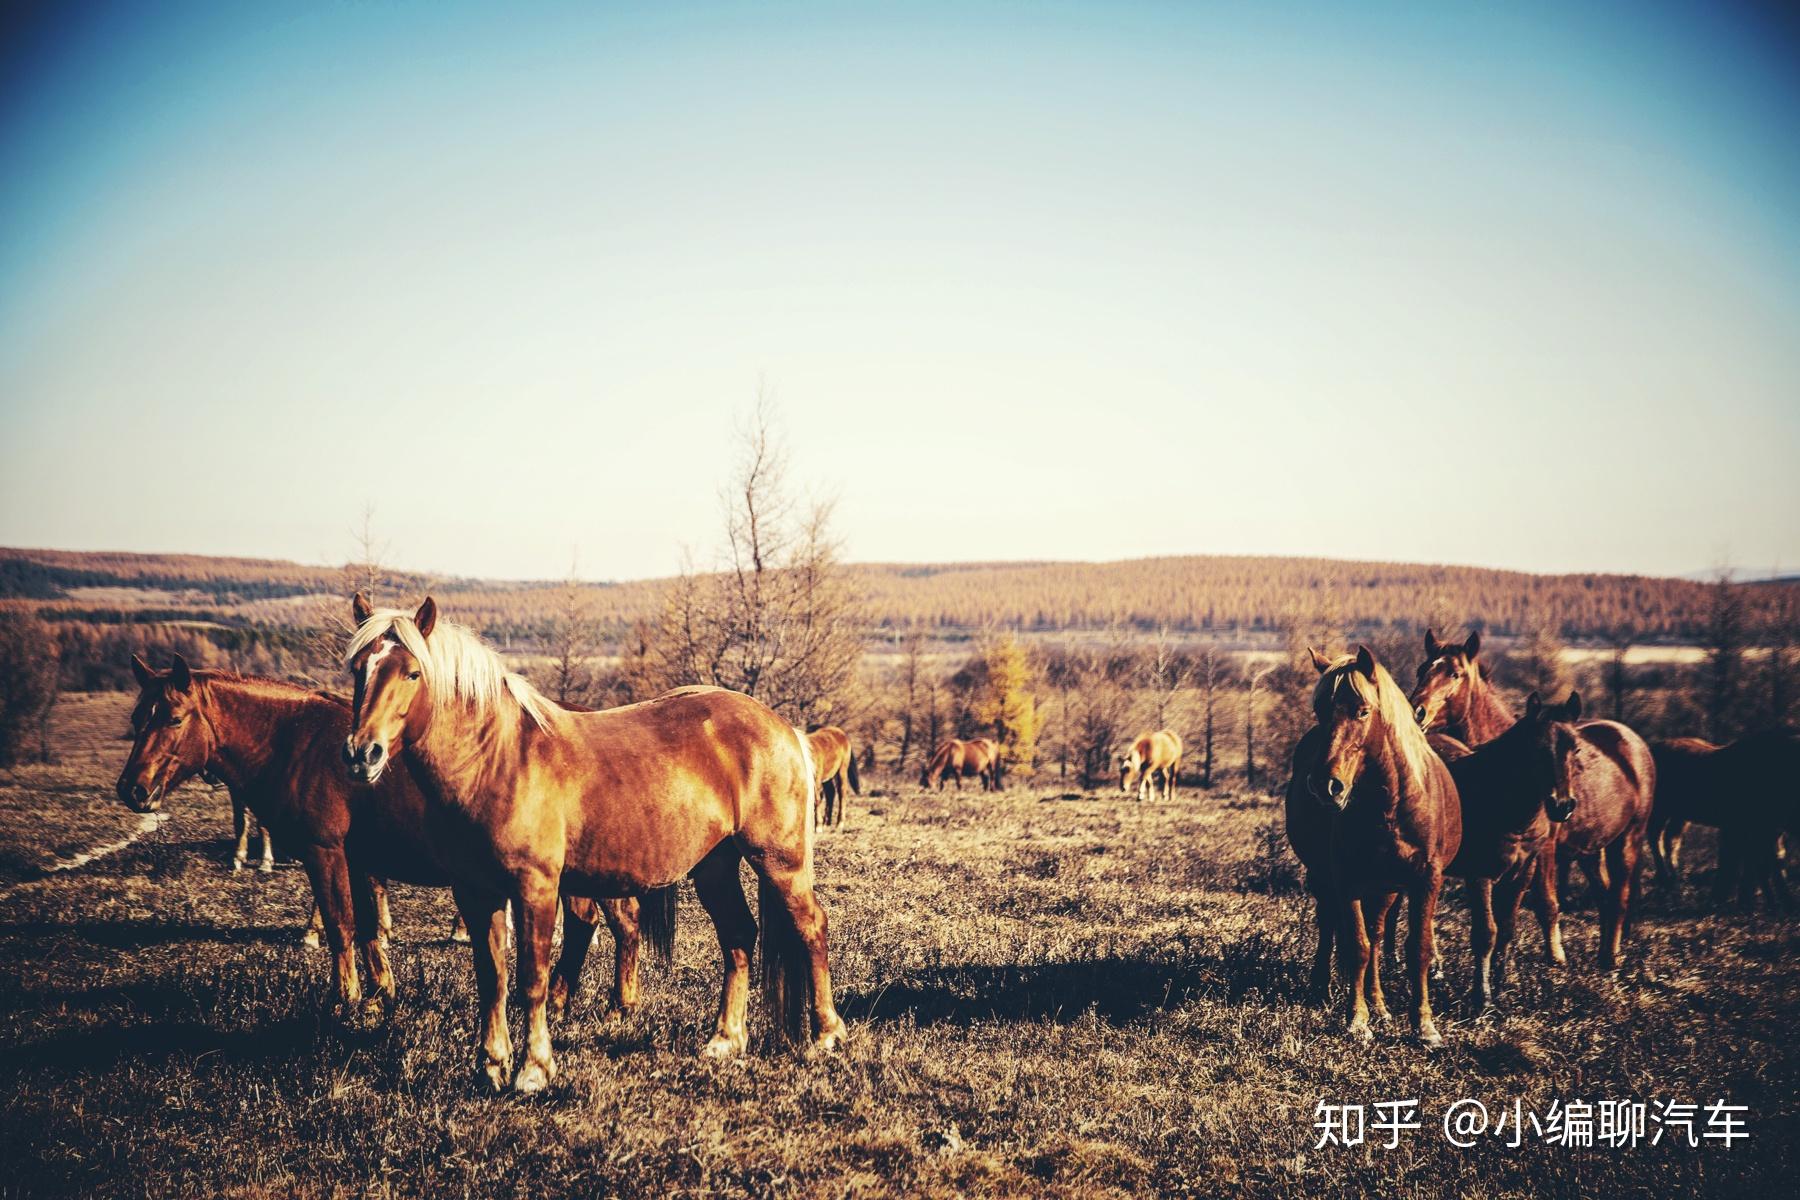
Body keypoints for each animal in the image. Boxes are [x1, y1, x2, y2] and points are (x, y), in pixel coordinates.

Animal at [115, 654, 668, 1021]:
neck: (296, 741)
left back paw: (583, 1002)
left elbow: (340, 924)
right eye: (137, 717)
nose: (132, 789)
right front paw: (382, 991)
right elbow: (367, 927)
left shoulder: (326, 852)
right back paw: (602, 1002)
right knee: (611, 923)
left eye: (174, 717)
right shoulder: (361, 858)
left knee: (596, 923)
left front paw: (345, 999)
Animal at [343, 596, 845, 1093]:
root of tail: (784, 729)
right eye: (358, 668)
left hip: (778, 860)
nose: (362, 753)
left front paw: (534, 1068)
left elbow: (532, 978)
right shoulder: (475, 891)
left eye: (412, 673)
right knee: (738, 935)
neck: (497, 760)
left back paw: (826, 1033)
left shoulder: (536, 888)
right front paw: (491, 1066)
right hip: (714, 867)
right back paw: (725, 1040)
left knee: (811, 927)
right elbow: (492, 979)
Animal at [1306, 646, 1462, 1044]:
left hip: (1386, 886)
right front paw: (1357, 1020)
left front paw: (1424, 1025)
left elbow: (1416, 948)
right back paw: (1325, 990)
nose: (1326, 786)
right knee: (1335, 925)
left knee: (1377, 935)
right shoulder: (1346, 879)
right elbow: (1357, 947)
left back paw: (1379, 1005)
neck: (1392, 801)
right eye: (1320, 710)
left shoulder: (1426, 879)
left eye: (1363, 710)